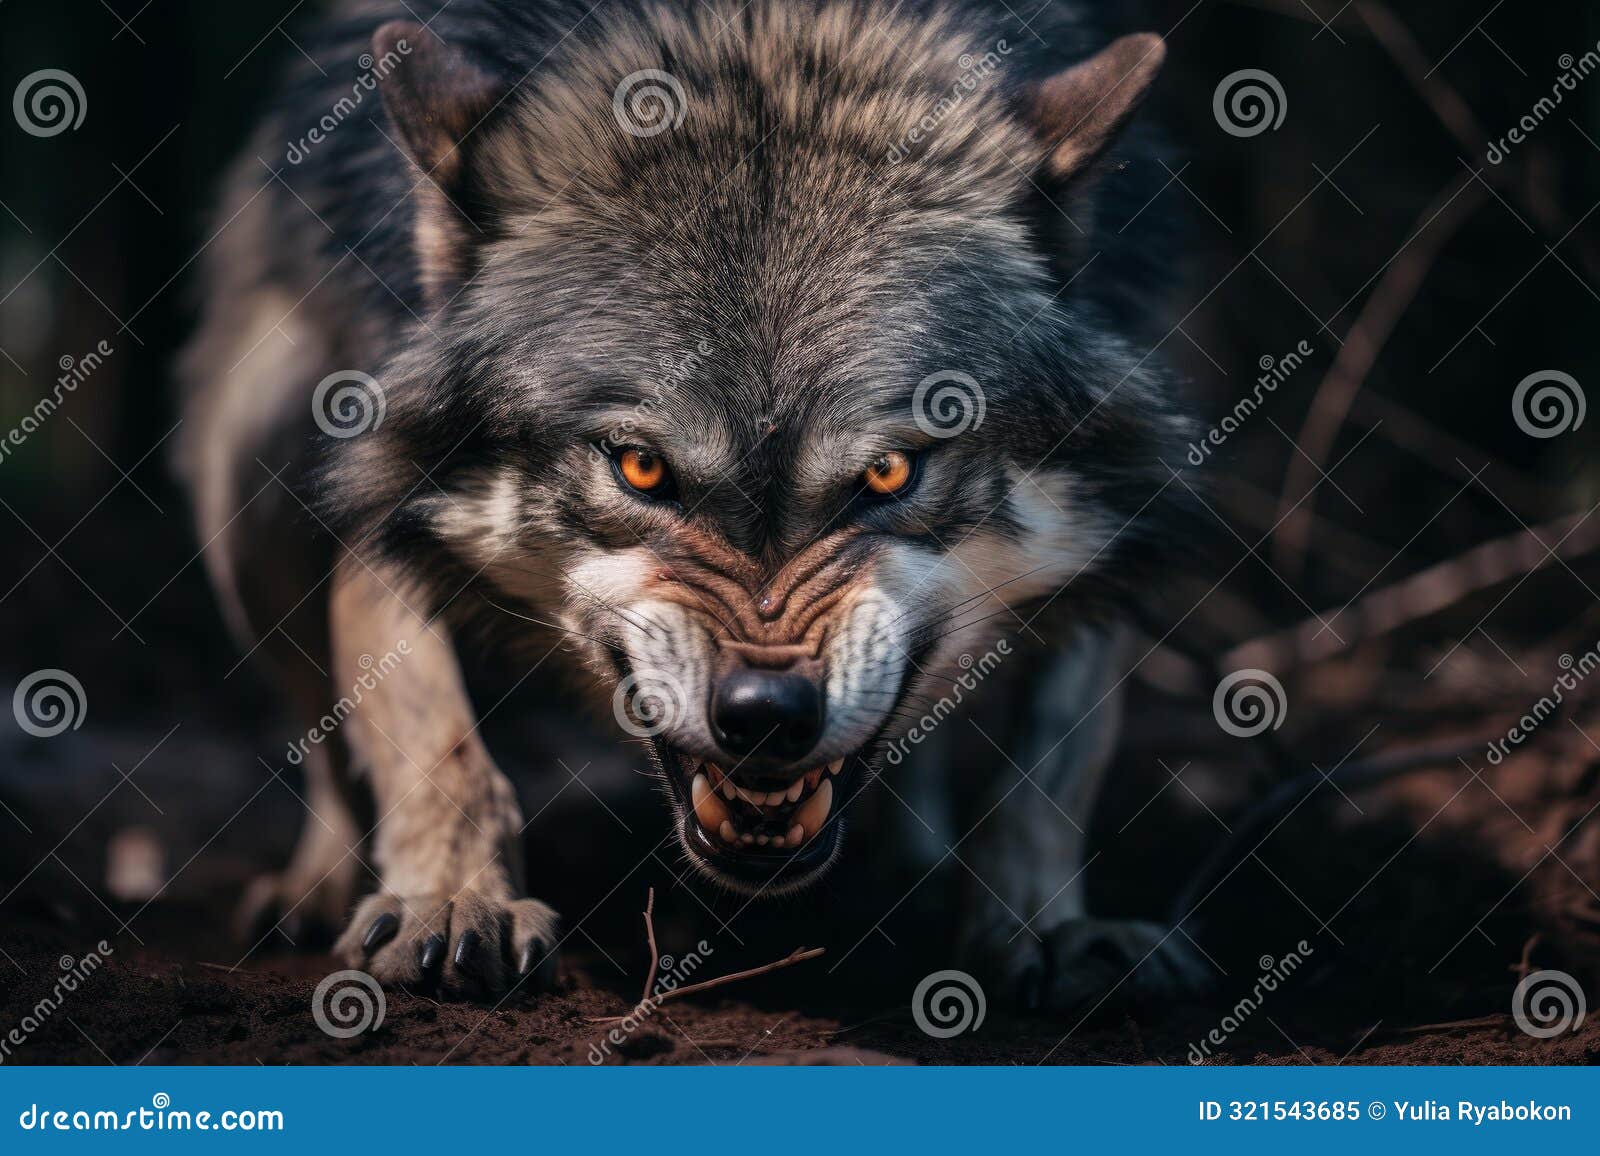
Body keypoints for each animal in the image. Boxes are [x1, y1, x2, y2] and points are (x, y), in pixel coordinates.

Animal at [177, 0, 1202, 1009]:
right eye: (640, 468)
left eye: (886, 475)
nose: (767, 713)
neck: (759, 33)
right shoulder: (384, 485)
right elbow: (440, 738)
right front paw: (455, 898)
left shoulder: (1127, 518)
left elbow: (1050, 766)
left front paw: (1046, 927)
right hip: (258, 456)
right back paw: (321, 886)